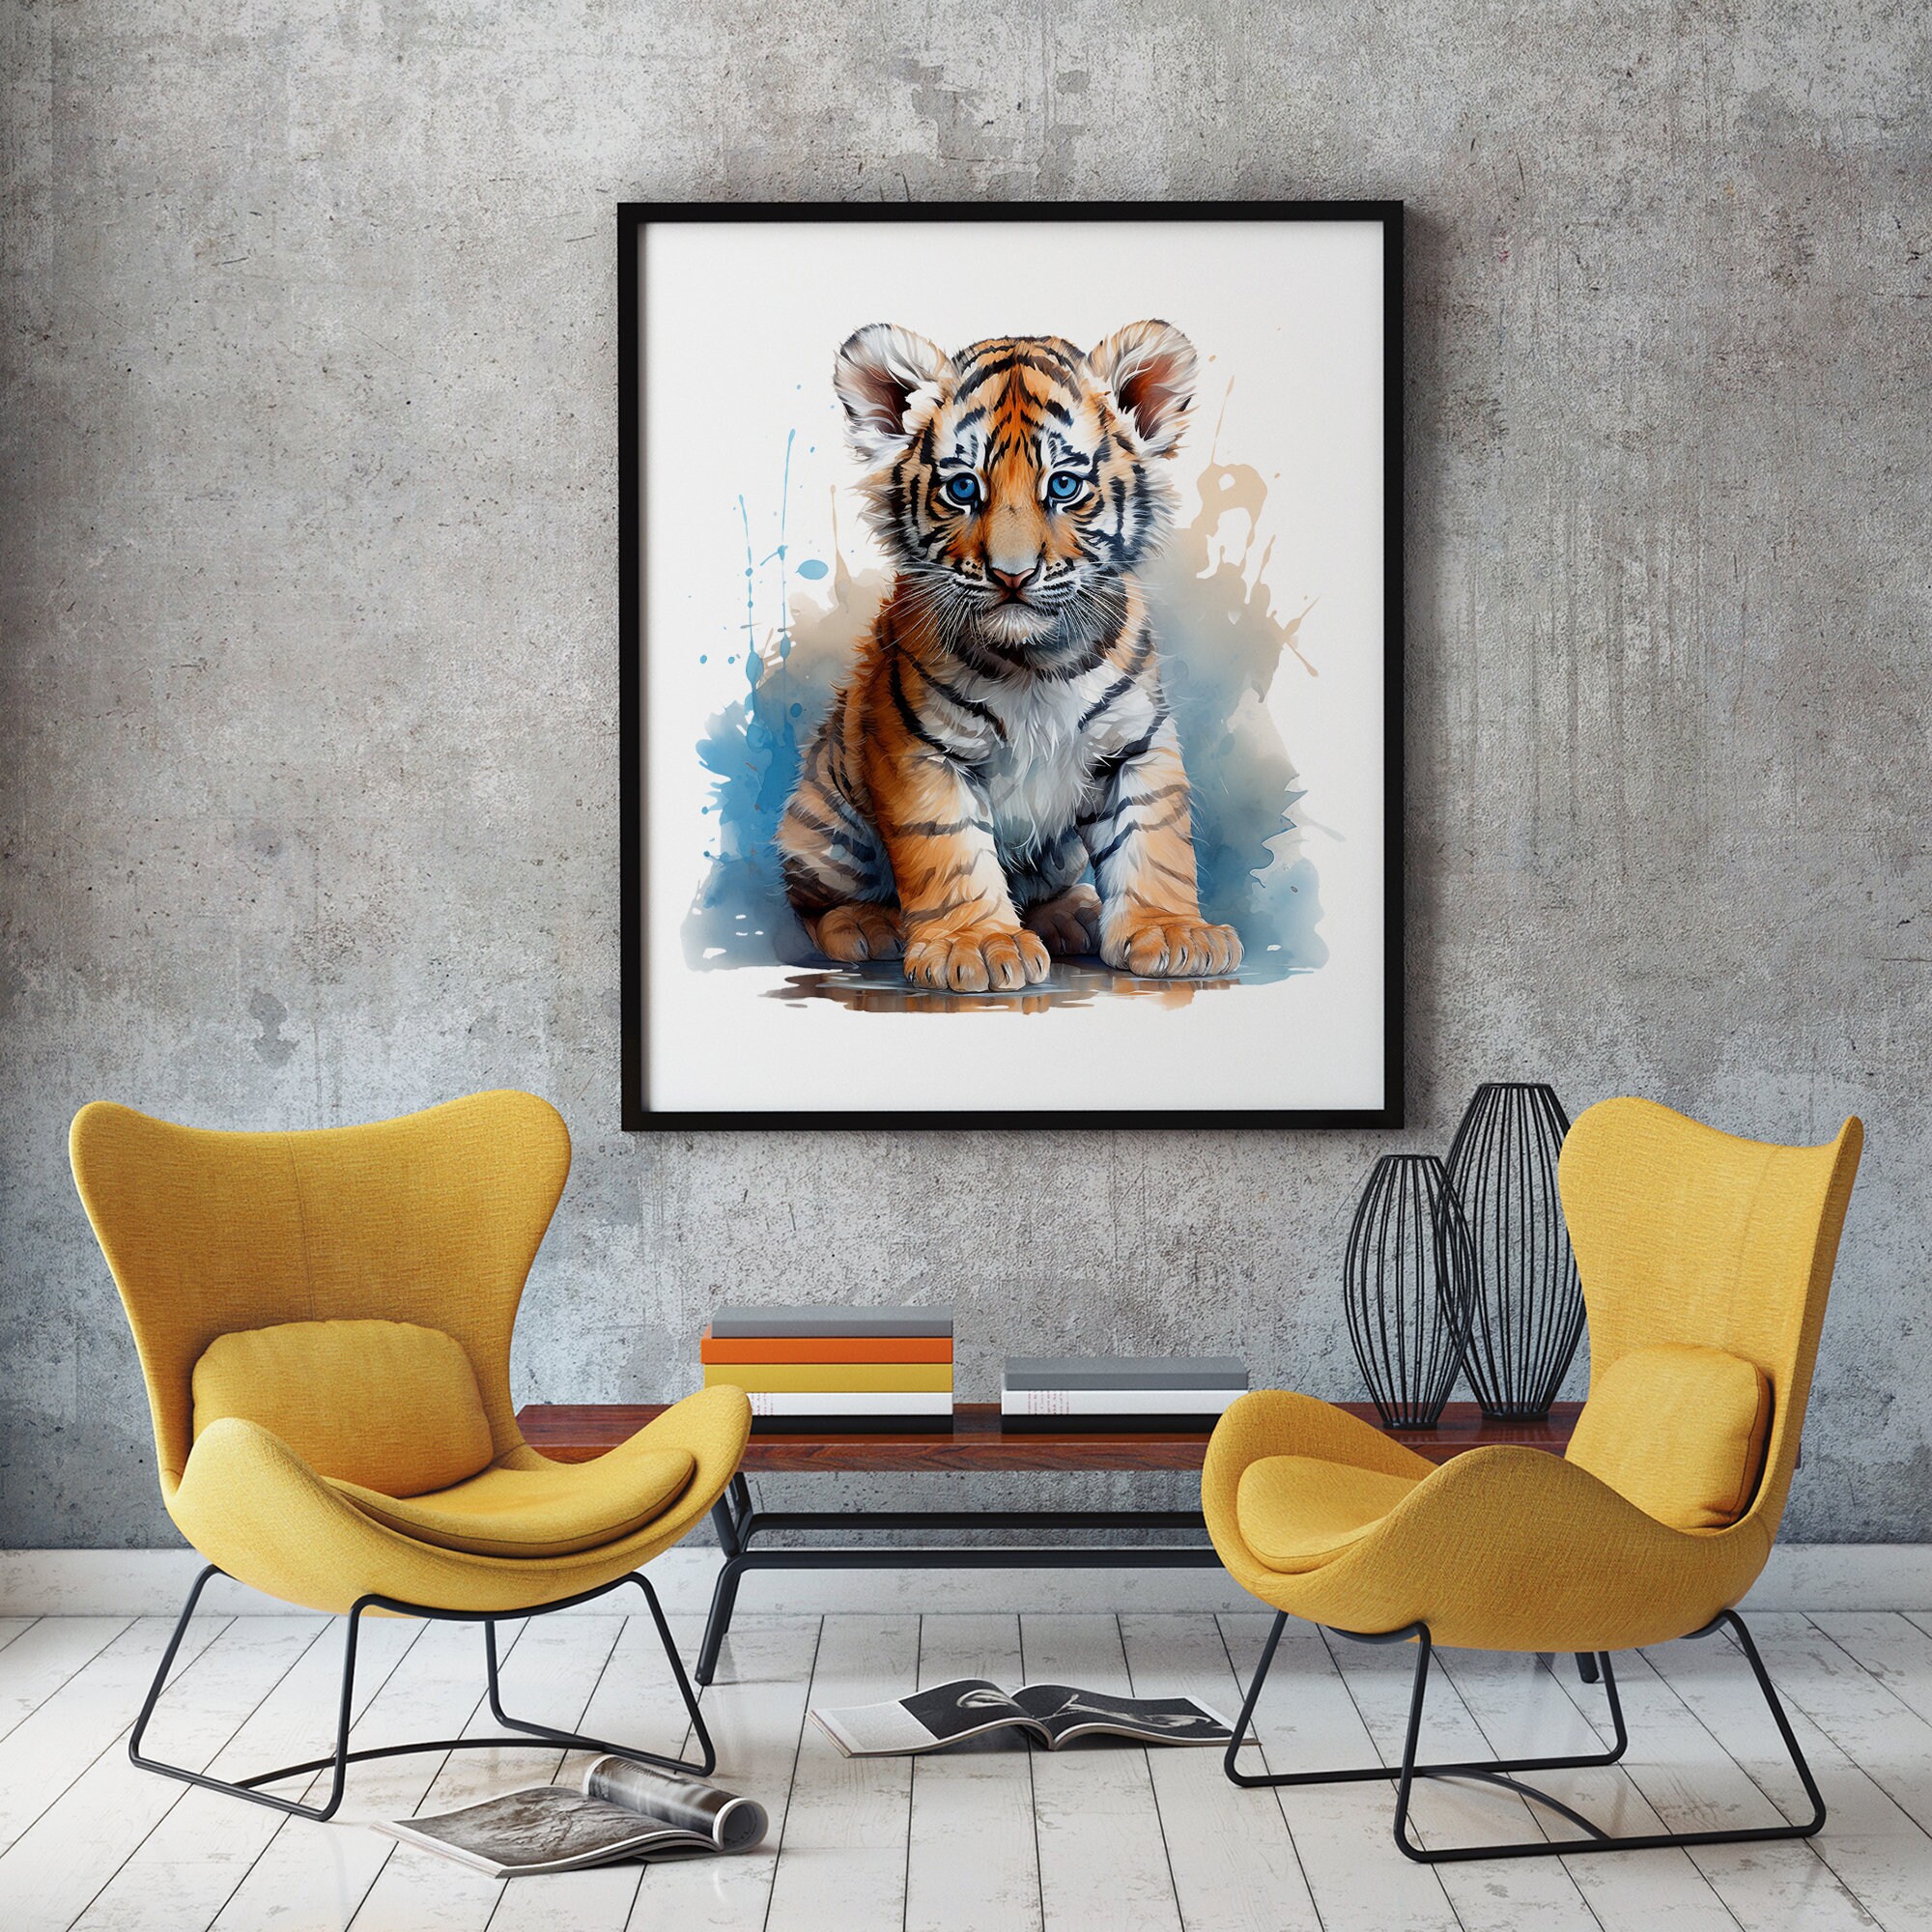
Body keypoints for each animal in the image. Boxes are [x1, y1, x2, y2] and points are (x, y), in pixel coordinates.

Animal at [776, 319, 1242, 993]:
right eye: (963, 488)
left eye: (1064, 486)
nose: (1011, 574)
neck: (1034, 663)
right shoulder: (922, 751)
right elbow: (948, 848)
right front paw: (976, 945)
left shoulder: (1134, 741)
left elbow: (1154, 836)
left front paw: (1175, 933)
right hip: (828, 825)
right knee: (812, 899)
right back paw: (868, 924)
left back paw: (1071, 914)